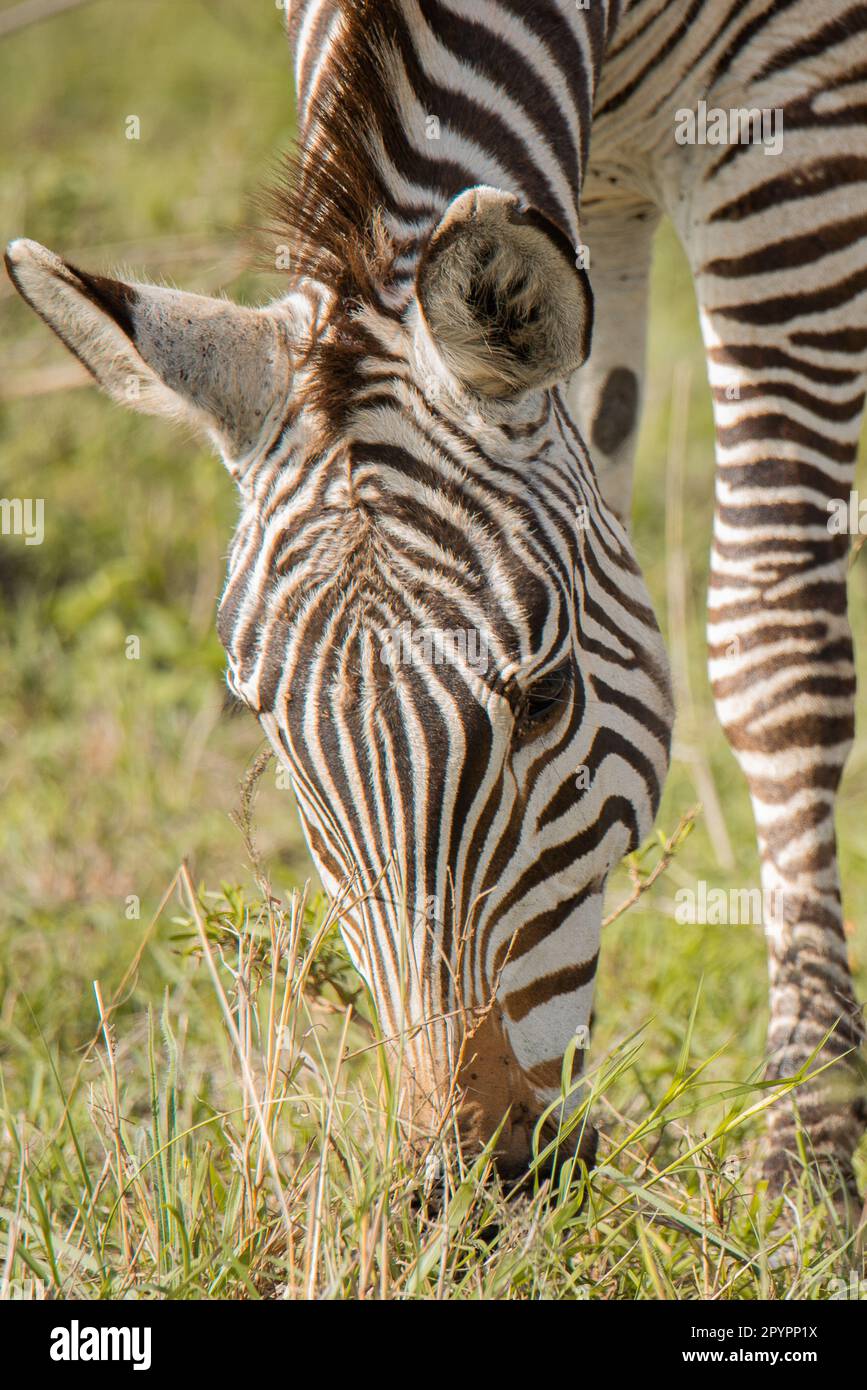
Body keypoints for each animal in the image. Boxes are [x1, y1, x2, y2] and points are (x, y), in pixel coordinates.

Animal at [6, 0, 867, 1201]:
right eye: (272, 732)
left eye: (546, 698)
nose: (471, 1183)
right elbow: (602, 457)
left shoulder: (790, 107)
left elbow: (772, 635)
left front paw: (809, 1144)